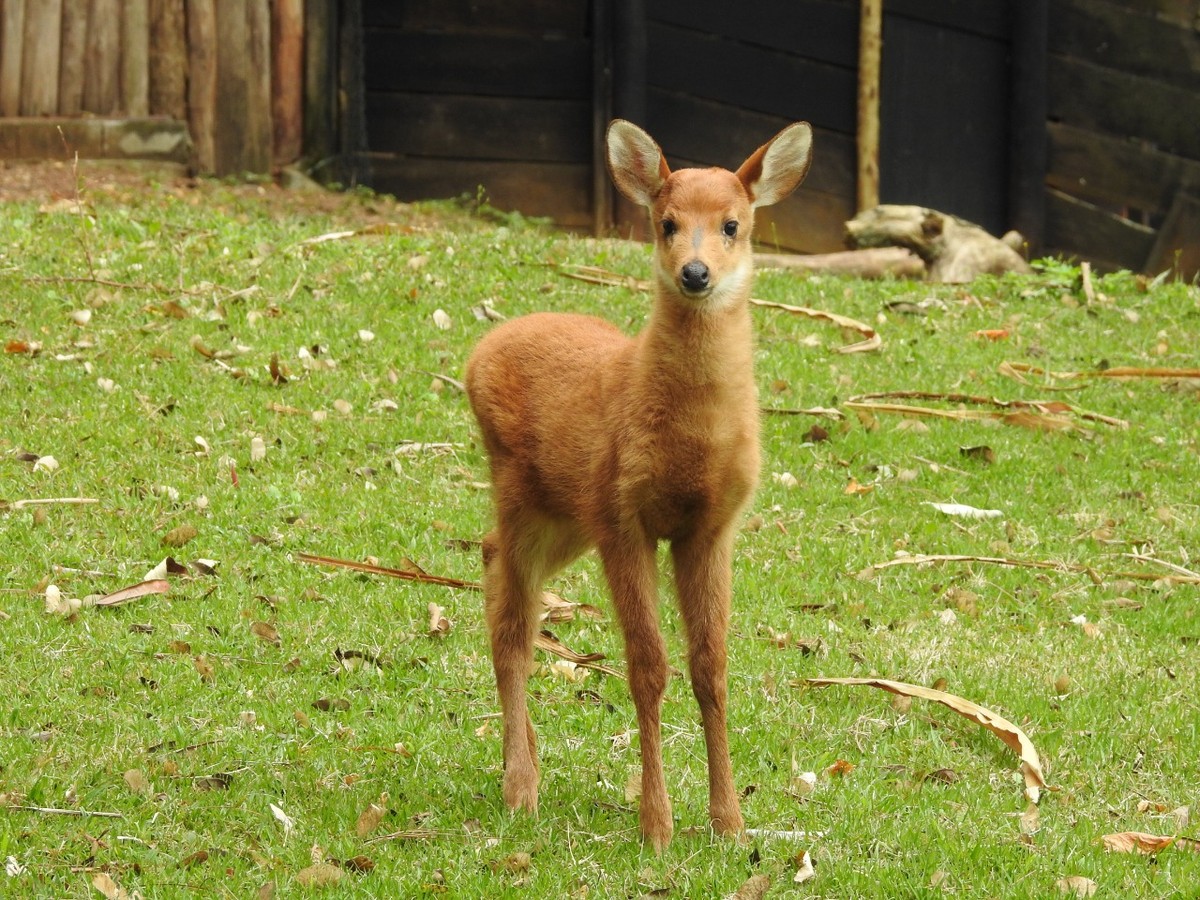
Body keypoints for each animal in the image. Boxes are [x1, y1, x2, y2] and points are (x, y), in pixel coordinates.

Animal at [464, 118, 813, 851]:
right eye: (666, 223)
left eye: (733, 224)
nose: (695, 272)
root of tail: (479, 354)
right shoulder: (623, 516)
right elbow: (648, 667)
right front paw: (657, 826)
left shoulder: (712, 527)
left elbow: (711, 667)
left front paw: (729, 822)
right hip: (529, 493)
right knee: (513, 625)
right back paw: (521, 790)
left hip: (563, 515)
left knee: (490, 561)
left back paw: (522, 764)